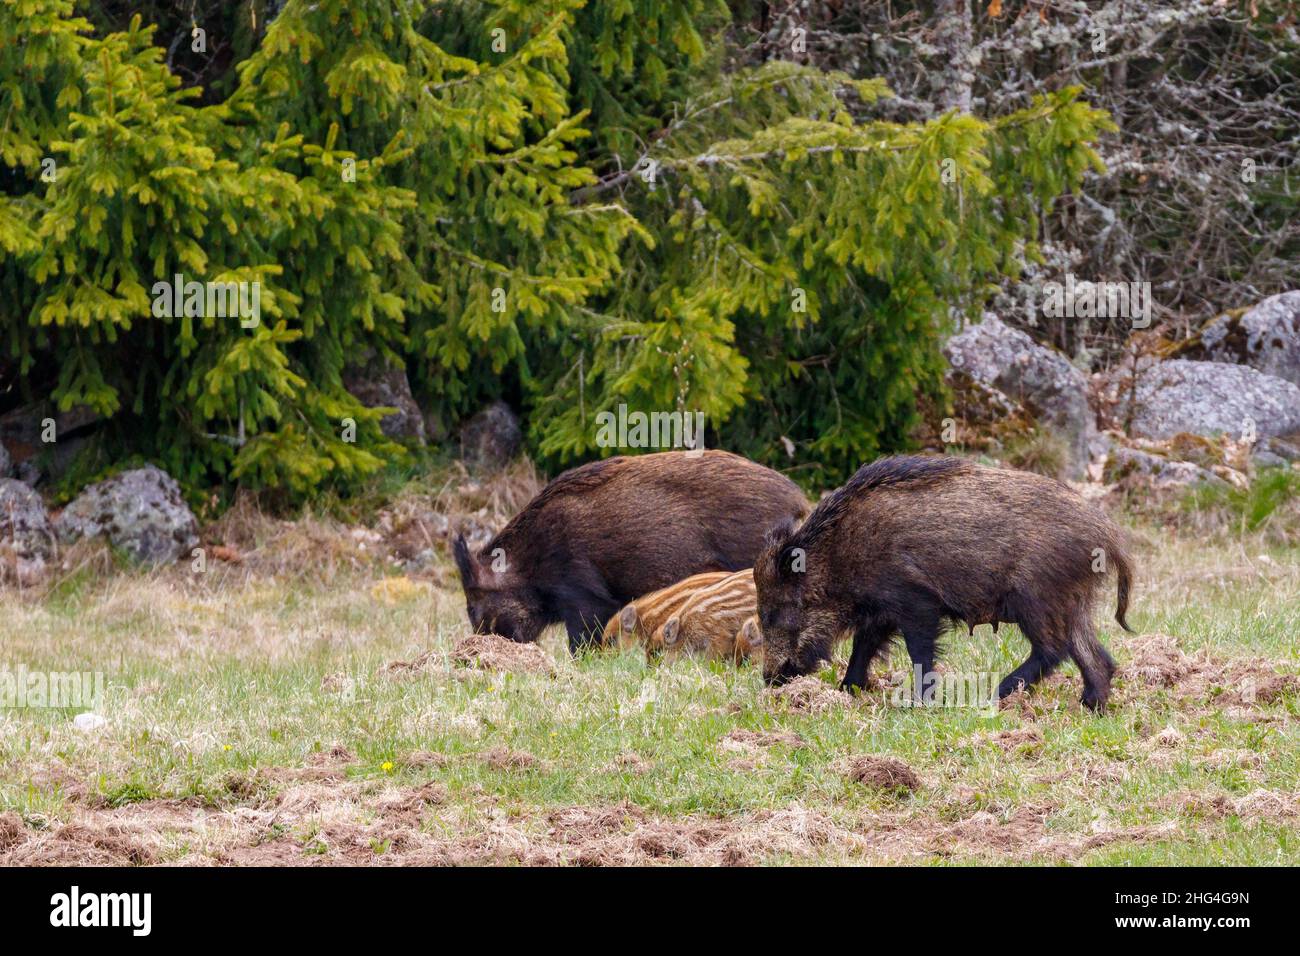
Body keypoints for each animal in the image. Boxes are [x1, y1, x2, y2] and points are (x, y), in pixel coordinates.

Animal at [454, 450, 809, 652]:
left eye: (474, 606)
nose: (479, 644)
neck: (531, 561)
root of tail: (799, 500)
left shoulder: (583, 595)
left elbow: (581, 643)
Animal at [754, 455, 1133, 711]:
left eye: (773, 612)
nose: (769, 679)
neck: (837, 556)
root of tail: (1108, 535)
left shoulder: (916, 601)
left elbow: (919, 651)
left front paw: (919, 702)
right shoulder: (881, 611)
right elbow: (864, 646)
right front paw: (847, 690)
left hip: (1036, 597)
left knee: (1054, 649)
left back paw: (994, 695)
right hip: (1072, 601)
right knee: (1095, 657)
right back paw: (1089, 706)